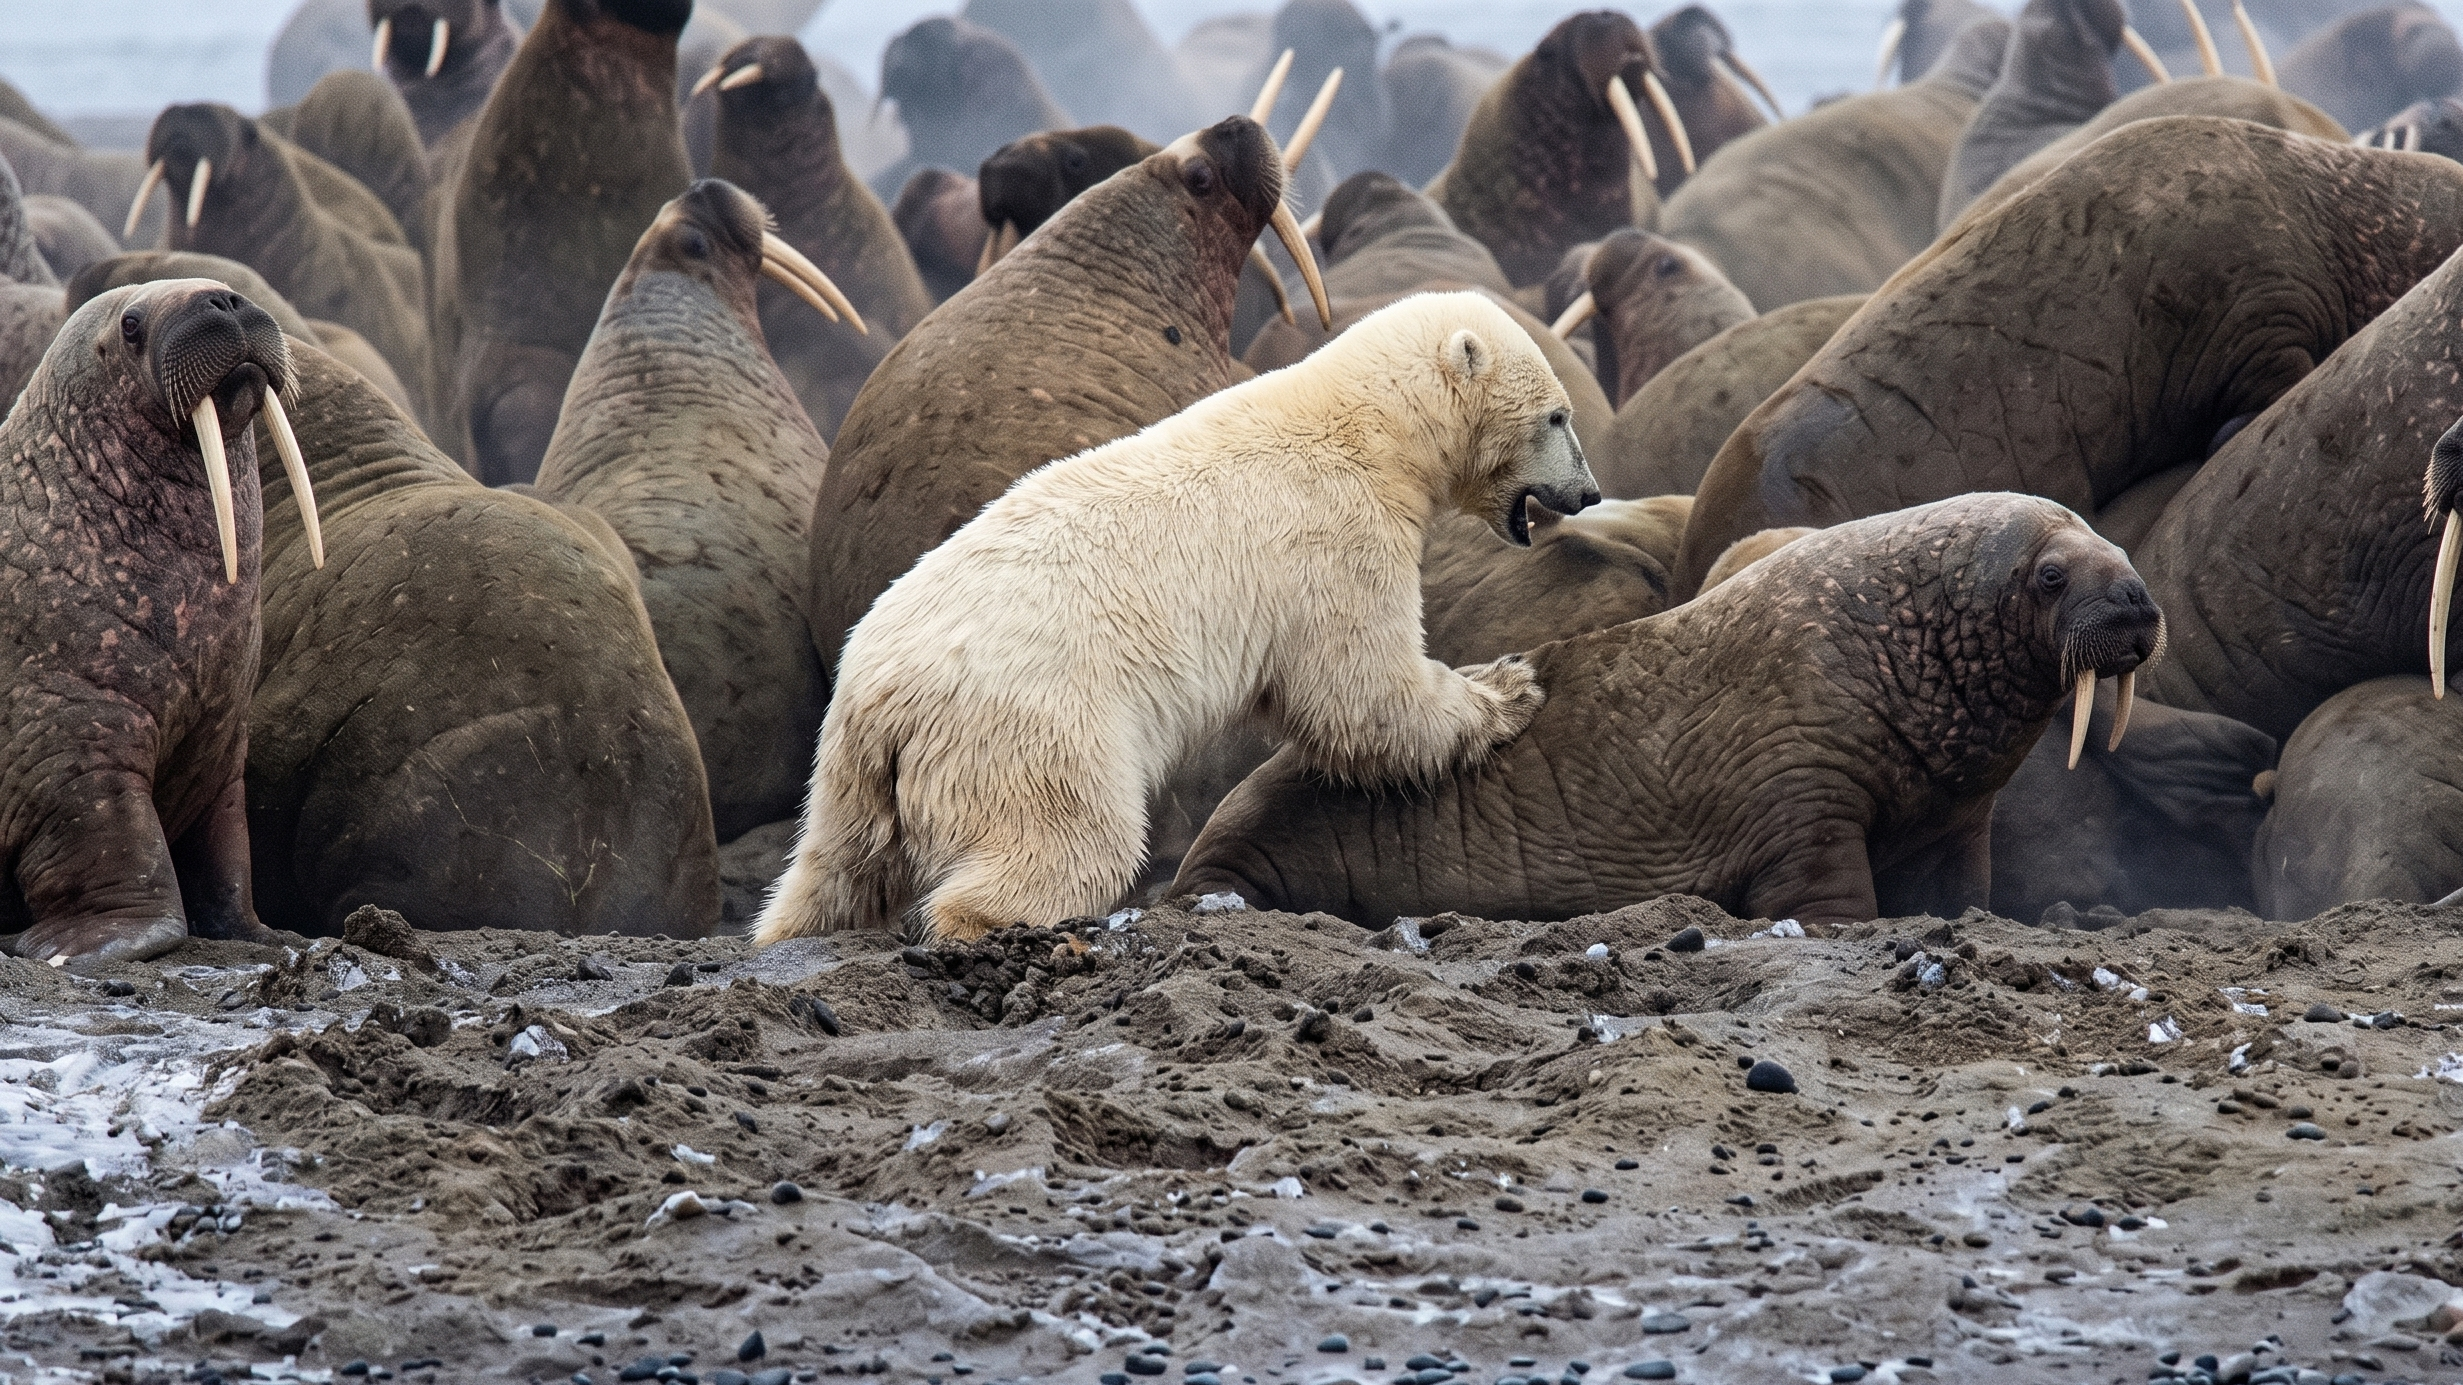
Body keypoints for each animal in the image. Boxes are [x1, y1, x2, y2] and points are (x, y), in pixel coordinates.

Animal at [754, 290, 1602, 944]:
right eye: (1557, 417)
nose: (1589, 492)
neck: (1368, 423)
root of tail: (877, 698)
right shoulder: (1334, 534)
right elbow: (1361, 690)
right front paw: (1508, 687)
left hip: (849, 774)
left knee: (836, 870)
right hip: (1032, 724)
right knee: (1069, 837)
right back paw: (1001, 921)